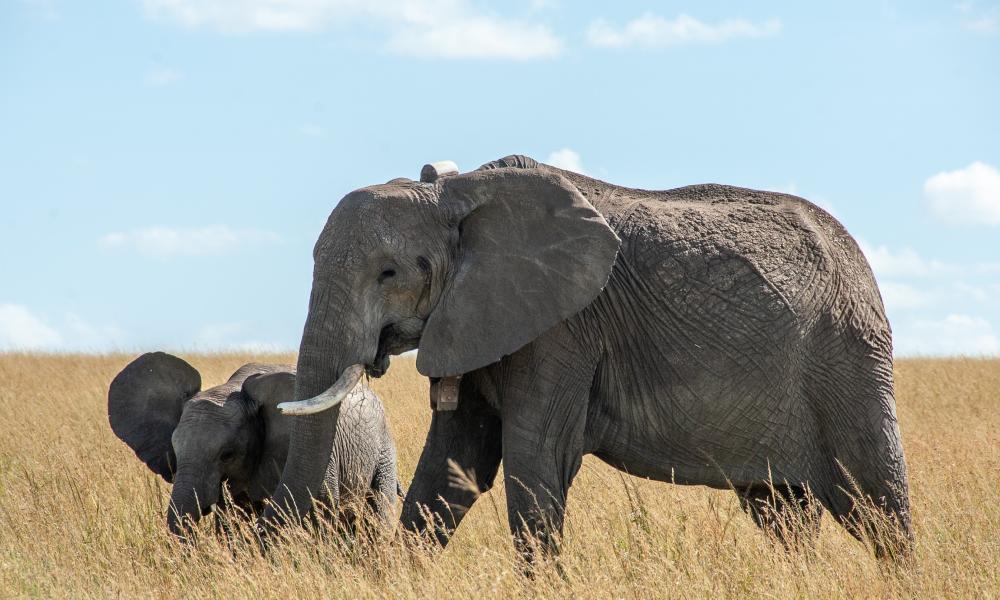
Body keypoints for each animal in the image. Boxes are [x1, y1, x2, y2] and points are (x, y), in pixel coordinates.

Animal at [108, 352, 400, 538]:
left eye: (226, 454)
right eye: (175, 455)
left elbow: (320, 508)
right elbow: (232, 520)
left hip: (384, 449)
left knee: (377, 511)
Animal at [266, 154, 912, 561]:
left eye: (389, 273)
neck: (460, 191)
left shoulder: (563, 329)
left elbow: (536, 462)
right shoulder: (479, 319)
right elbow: (449, 471)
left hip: (848, 355)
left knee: (877, 504)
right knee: (783, 514)